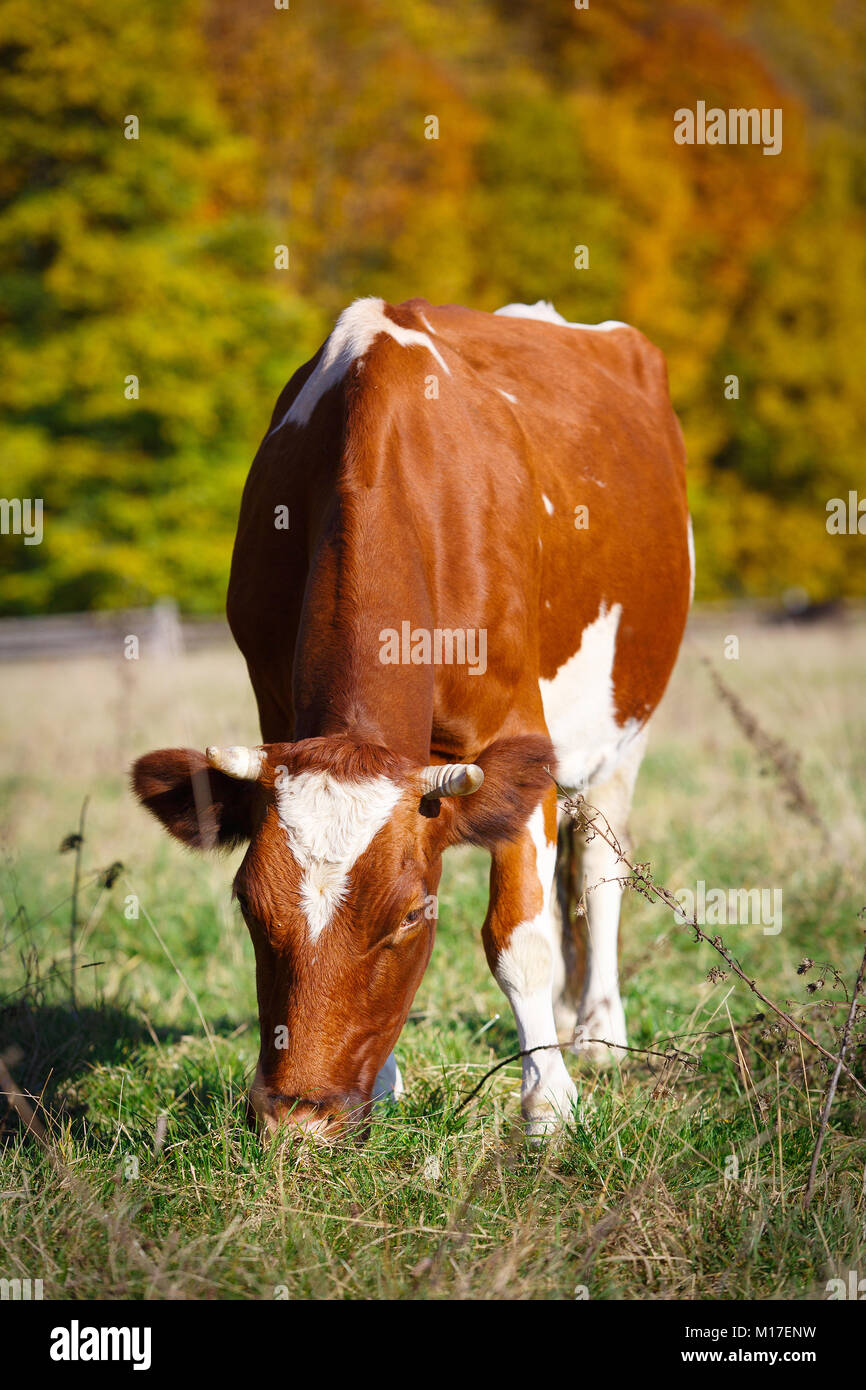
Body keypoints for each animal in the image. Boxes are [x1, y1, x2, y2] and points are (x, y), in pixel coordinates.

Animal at [132, 297, 692, 1142]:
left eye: (408, 918)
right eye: (248, 907)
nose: (298, 1119)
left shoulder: (518, 743)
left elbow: (519, 939)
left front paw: (549, 1103)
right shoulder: (275, 707)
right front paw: (388, 1084)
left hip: (626, 725)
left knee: (599, 870)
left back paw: (598, 1033)